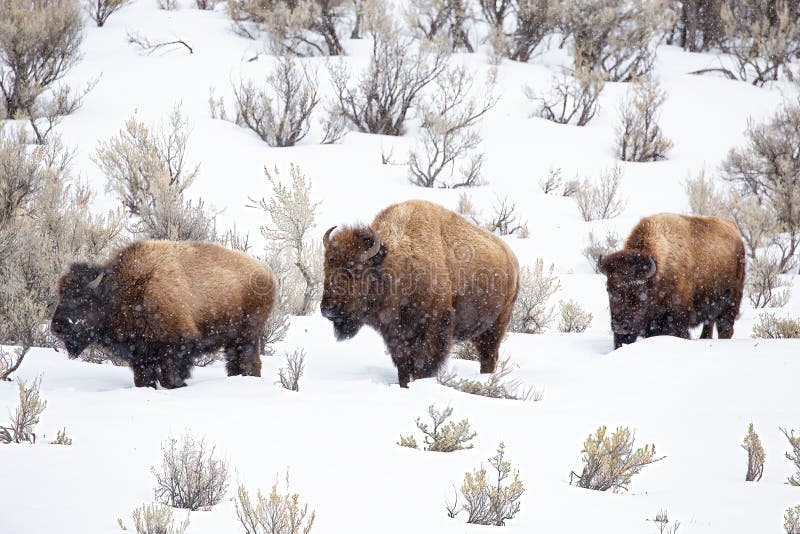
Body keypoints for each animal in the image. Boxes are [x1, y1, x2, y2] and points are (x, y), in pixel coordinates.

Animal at [51, 240, 274, 388]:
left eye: (81, 300)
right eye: (61, 295)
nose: (56, 327)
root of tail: (266, 272)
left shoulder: (175, 347)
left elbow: (170, 377)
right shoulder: (140, 354)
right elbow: (143, 379)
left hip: (246, 336)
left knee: (248, 361)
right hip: (235, 340)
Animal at [320, 199, 520, 387]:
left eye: (357, 269)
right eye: (326, 266)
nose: (328, 309)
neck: (394, 262)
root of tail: (512, 258)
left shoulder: (433, 329)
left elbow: (423, 365)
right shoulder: (395, 334)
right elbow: (403, 365)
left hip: (496, 325)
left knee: (489, 355)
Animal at [599, 213, 745, 349]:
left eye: (639, 290)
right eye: (608, 289)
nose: (620, 327)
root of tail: (734, 230)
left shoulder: (676, 322)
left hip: (730, 305)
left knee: (725, 328)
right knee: (708, 326)